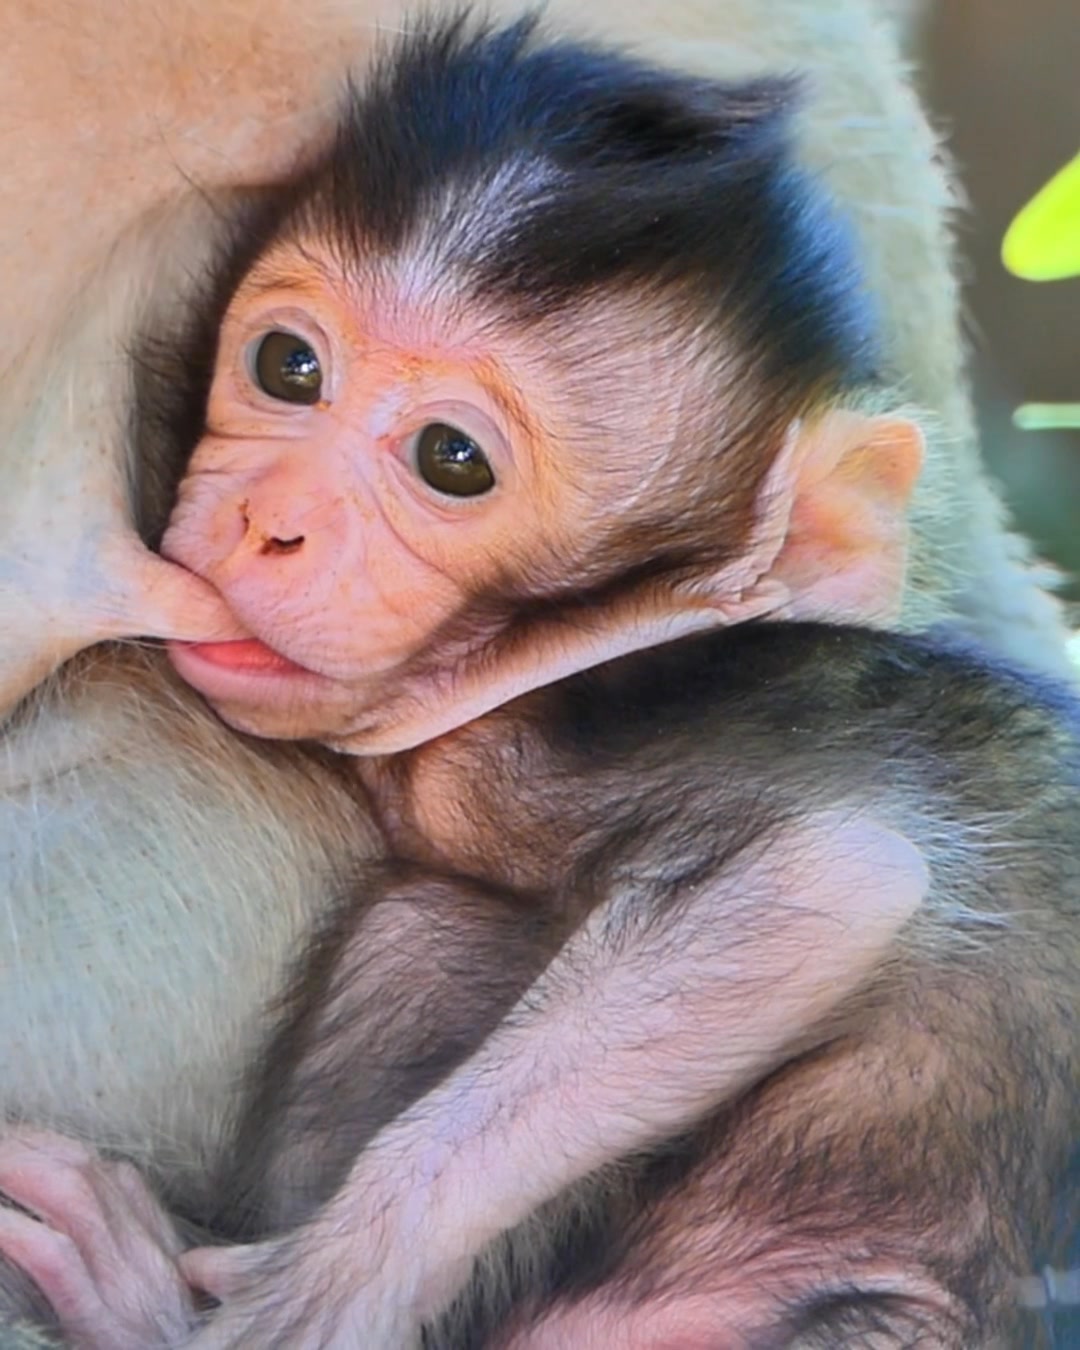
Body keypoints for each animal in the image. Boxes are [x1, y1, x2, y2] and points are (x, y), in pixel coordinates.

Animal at [1, 1, 1077, 1346]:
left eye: (452, 461)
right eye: (289, 367)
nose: (267, 521)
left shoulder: (547, 747)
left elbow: (828, 881)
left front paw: (305, 1303)